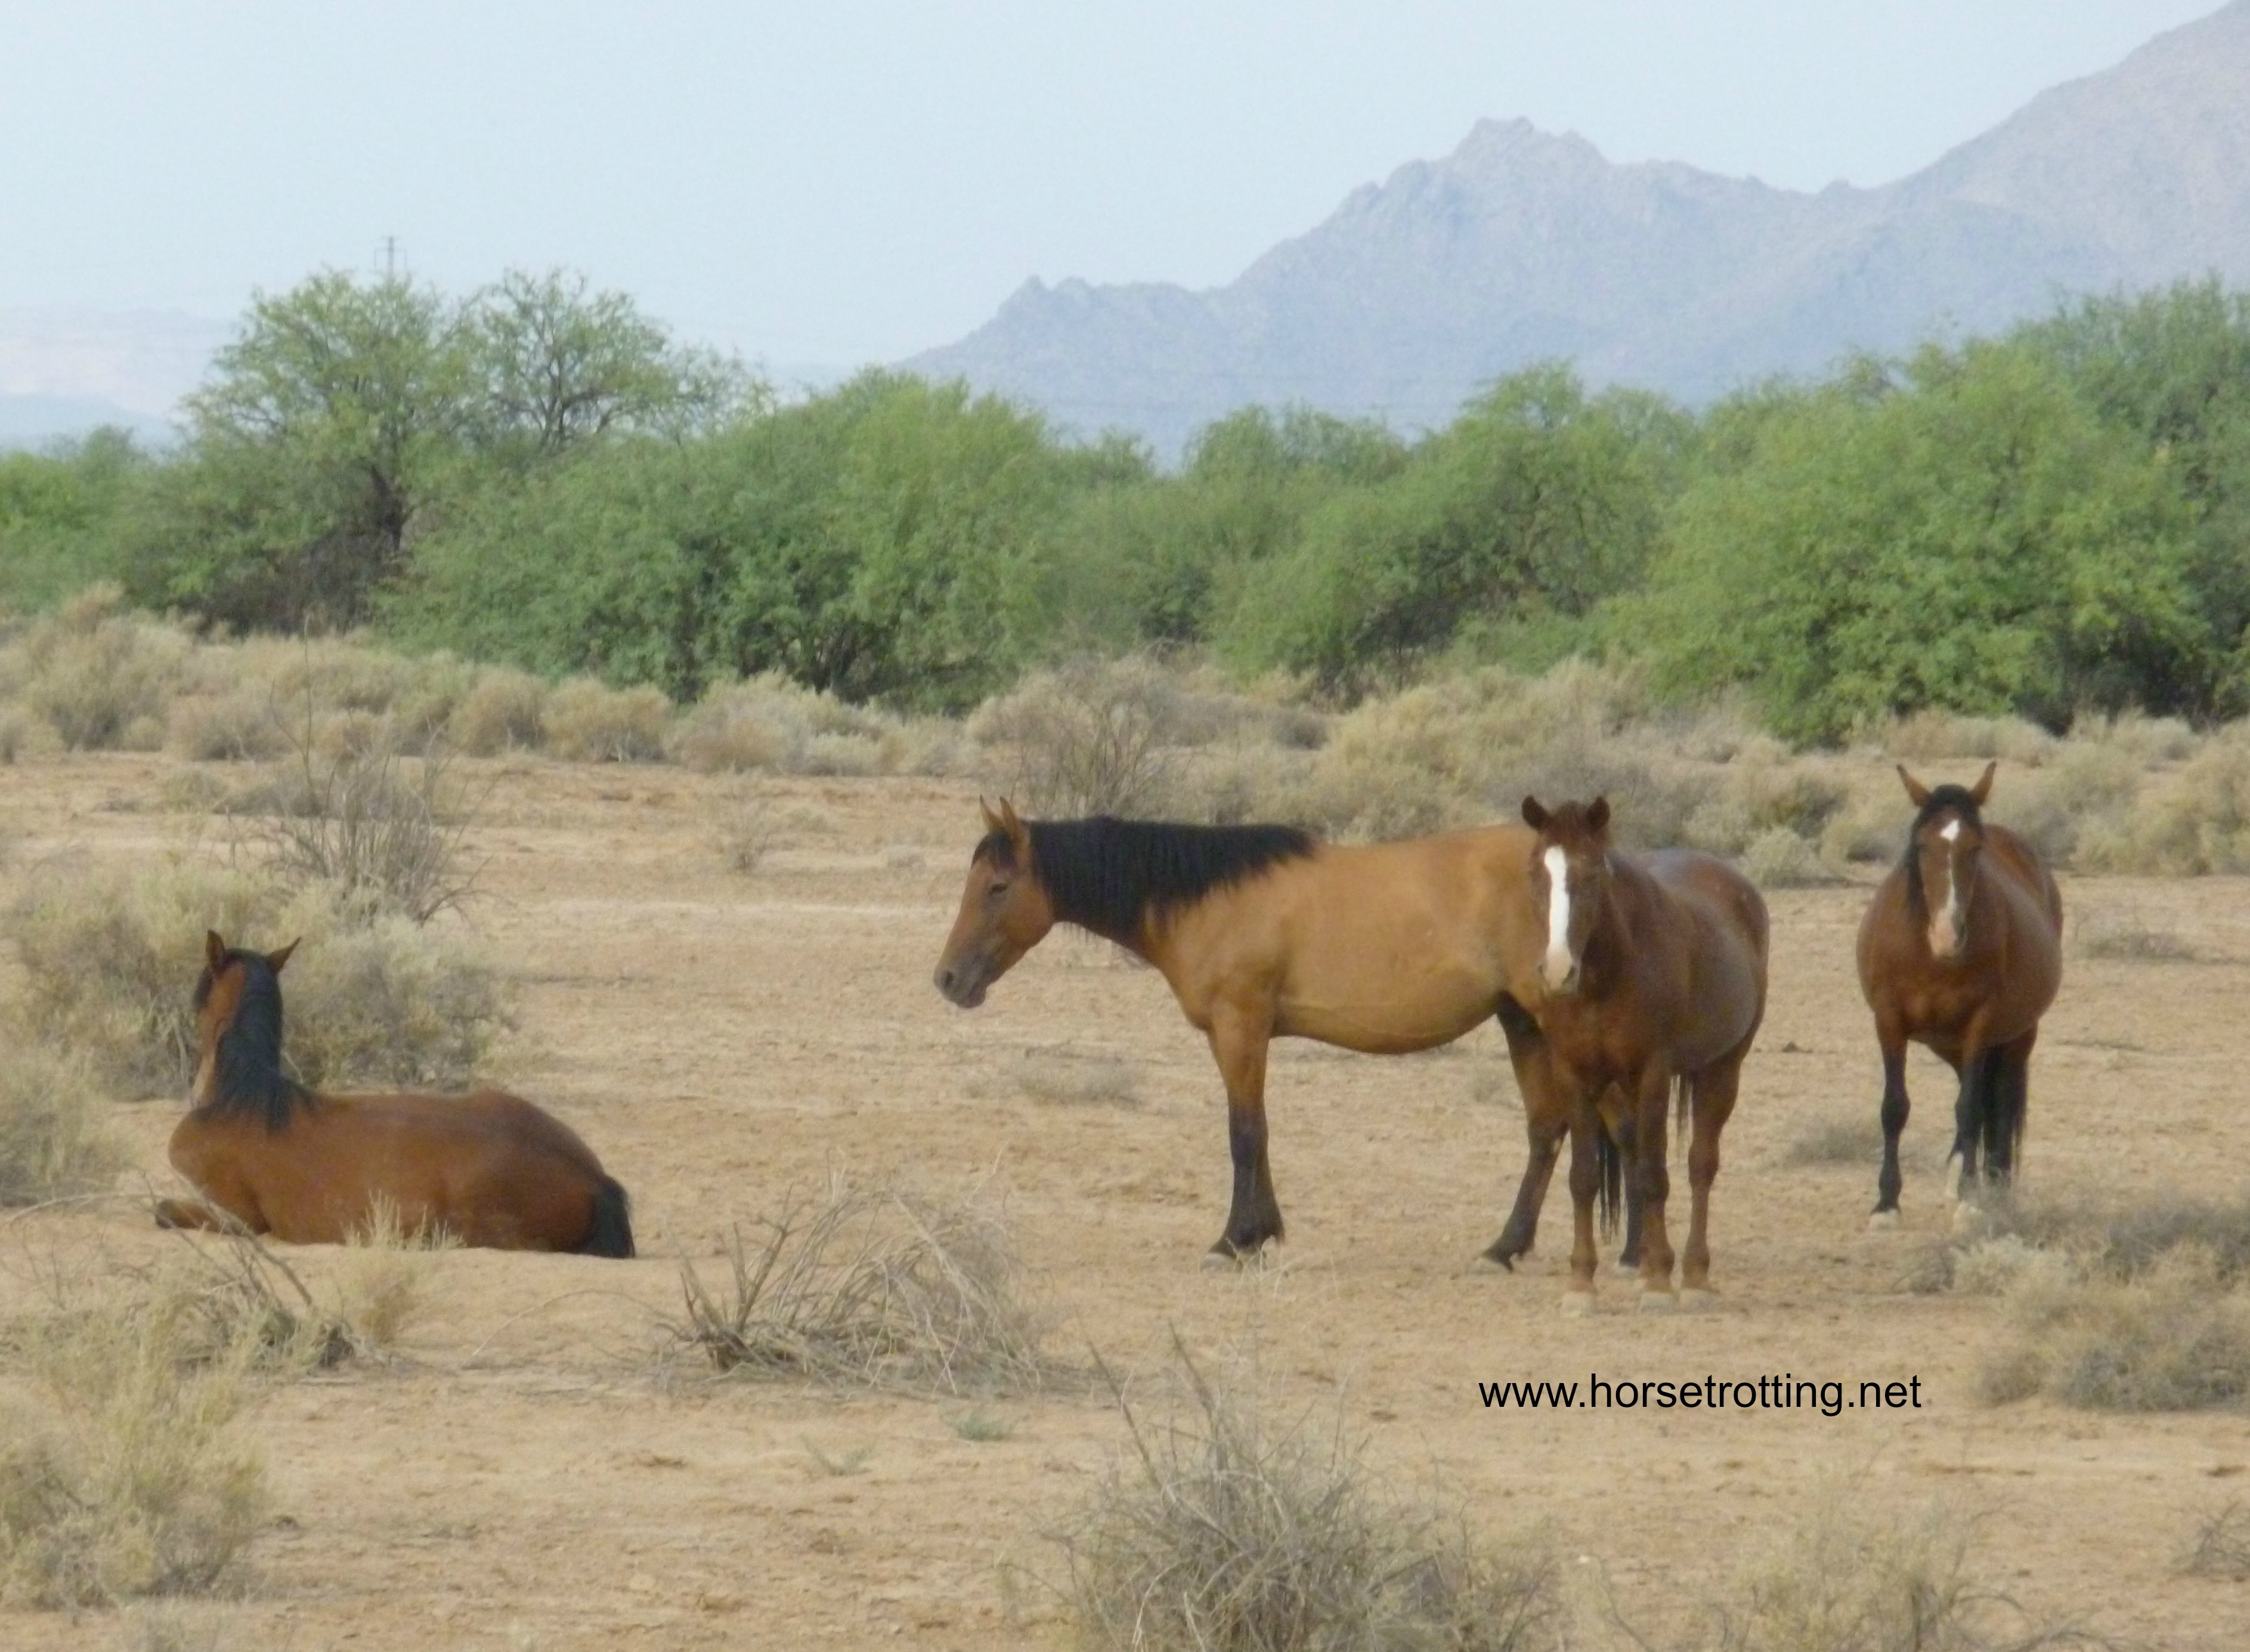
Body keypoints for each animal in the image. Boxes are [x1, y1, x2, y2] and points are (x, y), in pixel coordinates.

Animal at [932, 799, 1564, 1262]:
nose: (948, 979)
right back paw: (1508, 1246)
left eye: (996, 887)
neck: (1208, 901)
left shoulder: (1241, 1027)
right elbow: (1254, 1131)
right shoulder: (1227, 1035)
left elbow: (1244, 1133)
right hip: (1521, 1023)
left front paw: (1234, 1240)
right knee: (1546, 1132)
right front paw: (1261, 1232)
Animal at [1512, 795, 1768, 1311]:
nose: (1557, 971)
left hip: (1722, 1068)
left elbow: (1654, 1175)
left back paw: (1692, 1274)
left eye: (1592, 874)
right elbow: (1584, 1177)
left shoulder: (1653, 1074)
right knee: (1635, 1153)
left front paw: (1658, 1284)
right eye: (1535, 872)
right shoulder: (1575, 1076)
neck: (1605, 976)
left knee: (1699, 1165)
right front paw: (1581, 1284)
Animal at [1858, 763, 2062, 1228]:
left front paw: (1971, 1201)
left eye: (1975, 847)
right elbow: (1893, 1108)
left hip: (2016, 1036)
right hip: (1947, 1044)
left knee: (1997, 1105)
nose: (1947, 935)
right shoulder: (1888, 1022)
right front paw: (1886, 1203)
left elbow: (1970, 1109)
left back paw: (1992, 1186)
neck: (1931, 958)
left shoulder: (1979, 1026)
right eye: (1921, 844)